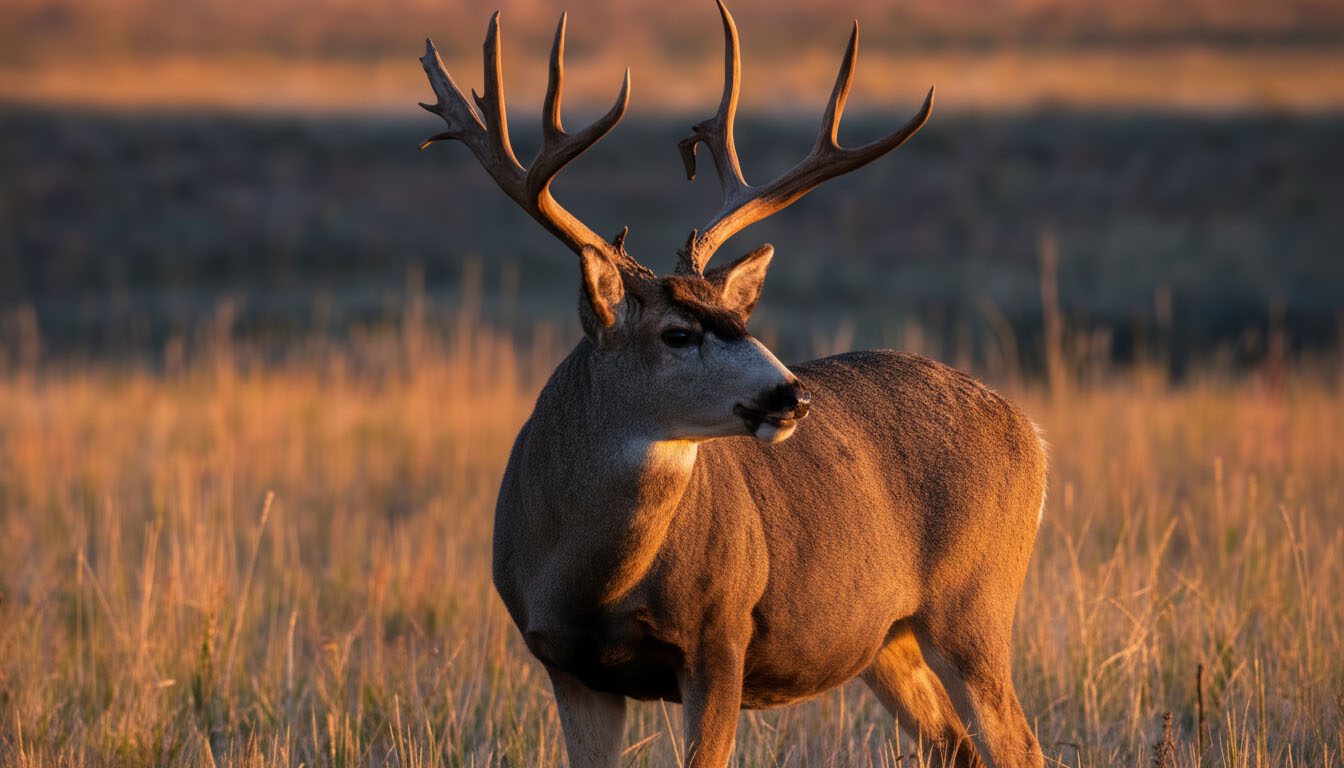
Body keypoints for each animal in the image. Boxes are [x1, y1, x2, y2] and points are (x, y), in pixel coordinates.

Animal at [417, 4, 1047, 767]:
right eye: (677, 334)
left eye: (739, 319)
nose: (792, 395)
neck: (592, 581)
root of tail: (1029, 429)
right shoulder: (564, 664)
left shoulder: (721, 637)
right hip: (887, 640)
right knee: (957, 747)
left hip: (974, 603)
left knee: (1020, 743)